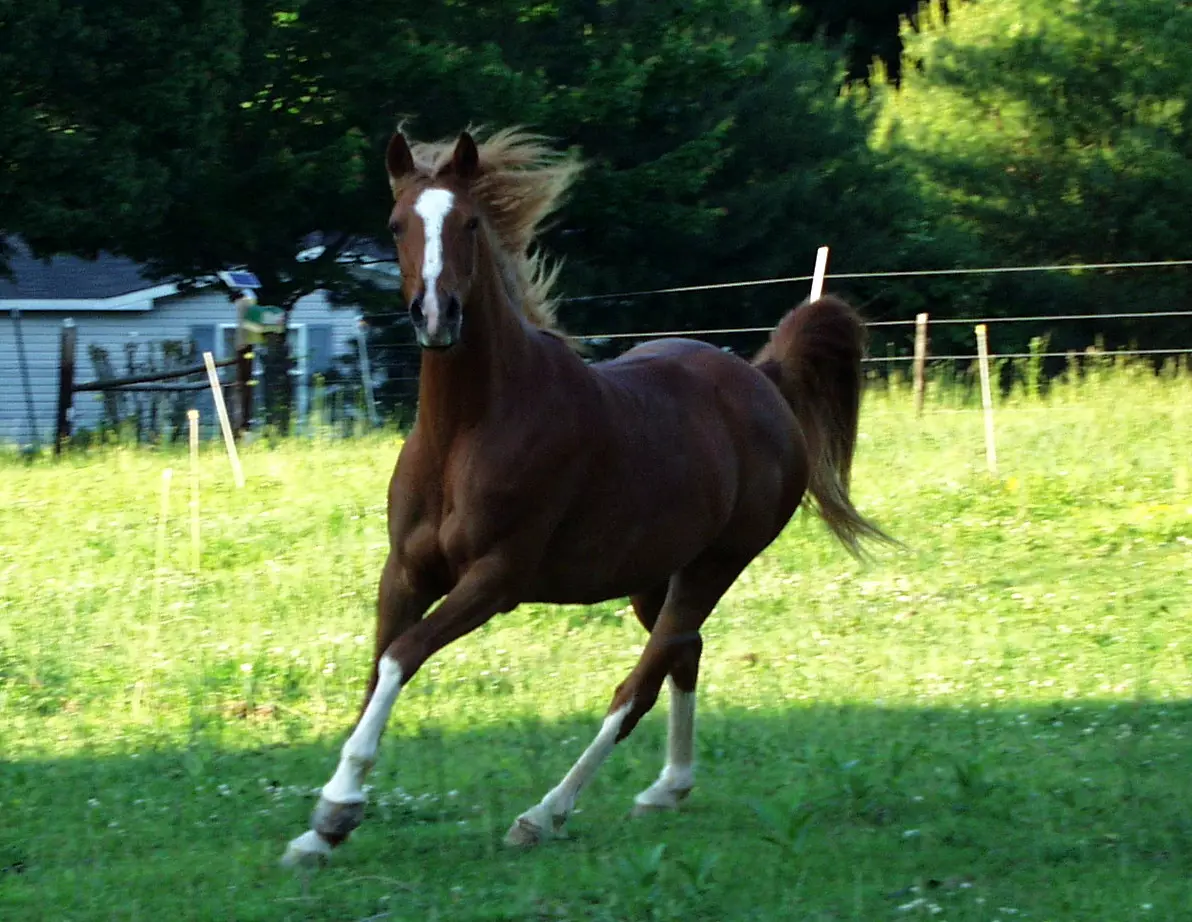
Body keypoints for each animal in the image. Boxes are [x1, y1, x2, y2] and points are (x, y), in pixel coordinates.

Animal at [283, 127, 891, 863]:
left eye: (469, 223)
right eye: (397, 224)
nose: (436, 316)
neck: (467, 430)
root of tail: (764, 379)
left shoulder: (496, 579)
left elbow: (402, 657)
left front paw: (336, 809)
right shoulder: (405, 571)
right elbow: (378, 668)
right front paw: (321, 832)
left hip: (715, 566)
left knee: (638, 686)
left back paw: (544, 814)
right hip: (653, 576)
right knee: (684, 654)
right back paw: (667, 789)